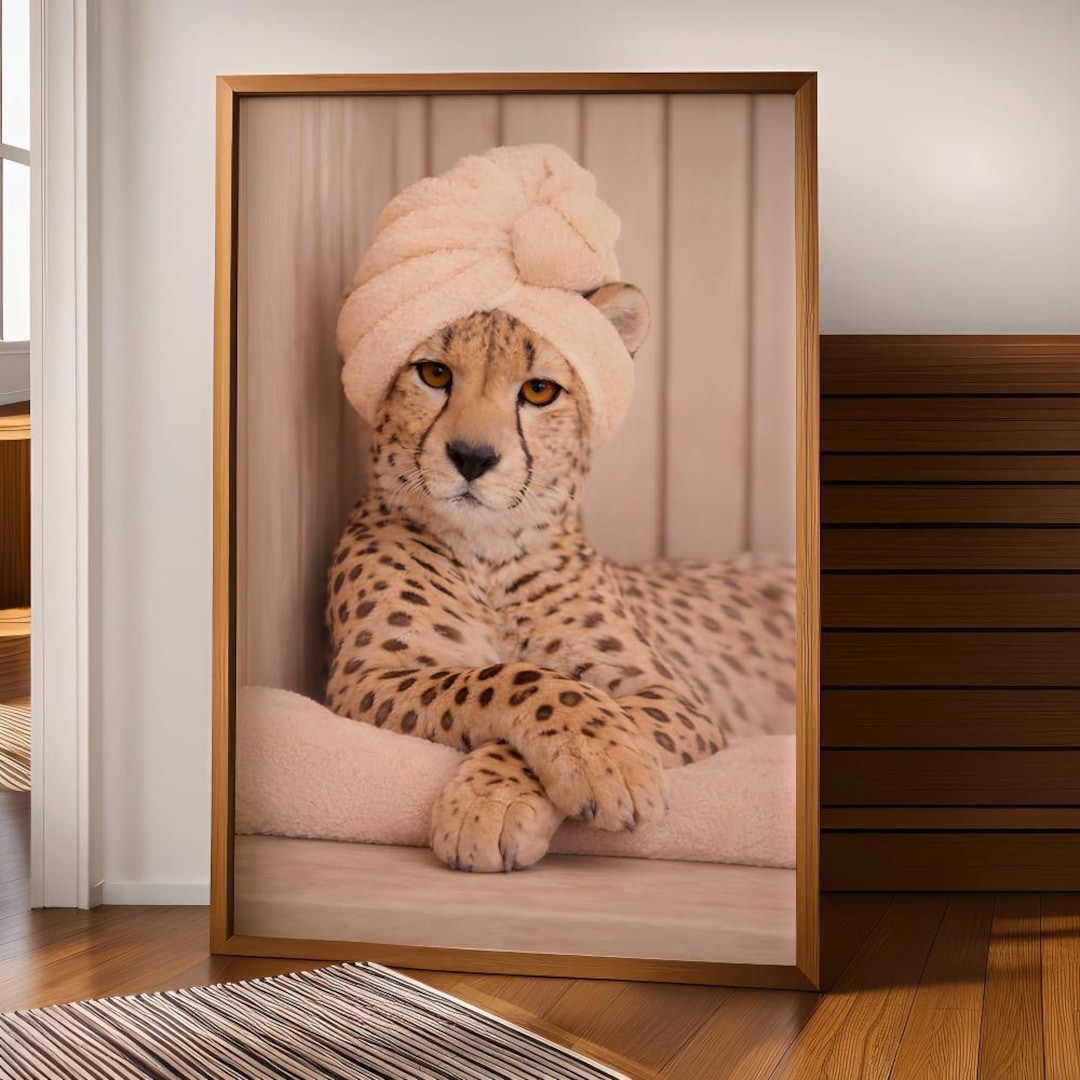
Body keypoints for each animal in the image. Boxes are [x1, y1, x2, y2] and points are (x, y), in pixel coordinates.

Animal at [325, 282, 796, 873]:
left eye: (539, 390)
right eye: (433, 374)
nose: (472, 457)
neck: (488, 556)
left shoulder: (675, 697)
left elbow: (589, 698)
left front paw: (522, 788)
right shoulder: (366, 678)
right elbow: (514, 677)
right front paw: (598, 760)